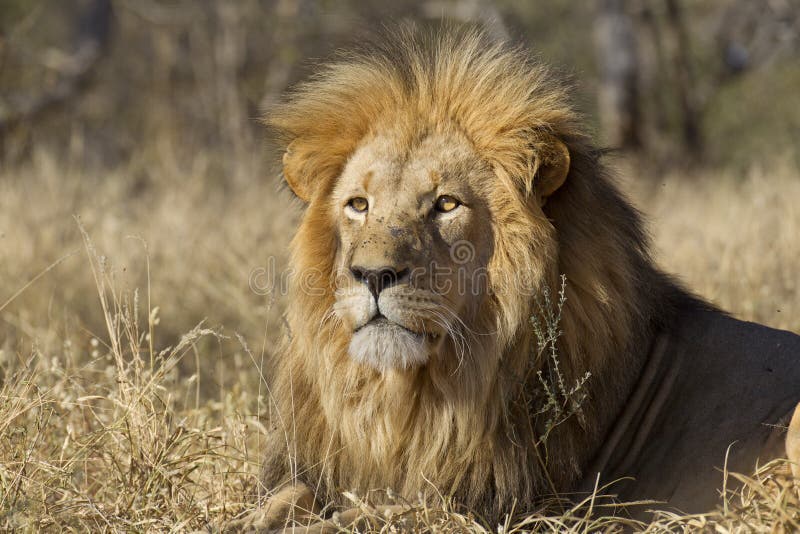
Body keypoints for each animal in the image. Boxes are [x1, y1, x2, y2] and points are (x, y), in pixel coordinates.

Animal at [250, 26, 800, 528]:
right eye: (358, 205)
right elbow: (291, 496)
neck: (411, 397)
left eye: (446, 204)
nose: (372, 274)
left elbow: (376, 514)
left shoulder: (504, 506)